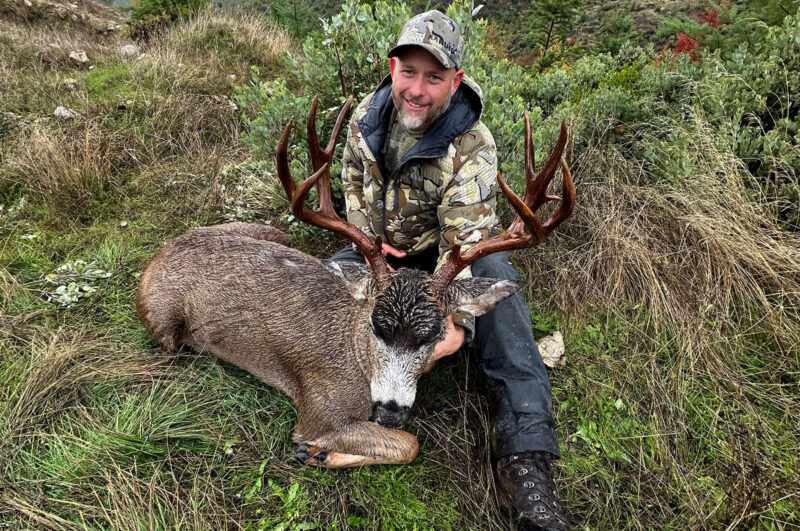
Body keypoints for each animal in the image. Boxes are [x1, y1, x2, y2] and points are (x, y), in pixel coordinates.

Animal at [136, 96, 575, 468]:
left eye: (432, 335)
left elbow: (406, 443)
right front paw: (316, 452)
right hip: (168, 327)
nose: (390, 411)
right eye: (376, 327)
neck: (358, 358)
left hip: (274, 233)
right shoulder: (319, 409)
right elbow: (409, 444)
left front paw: (321, 454)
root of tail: (162, 251)